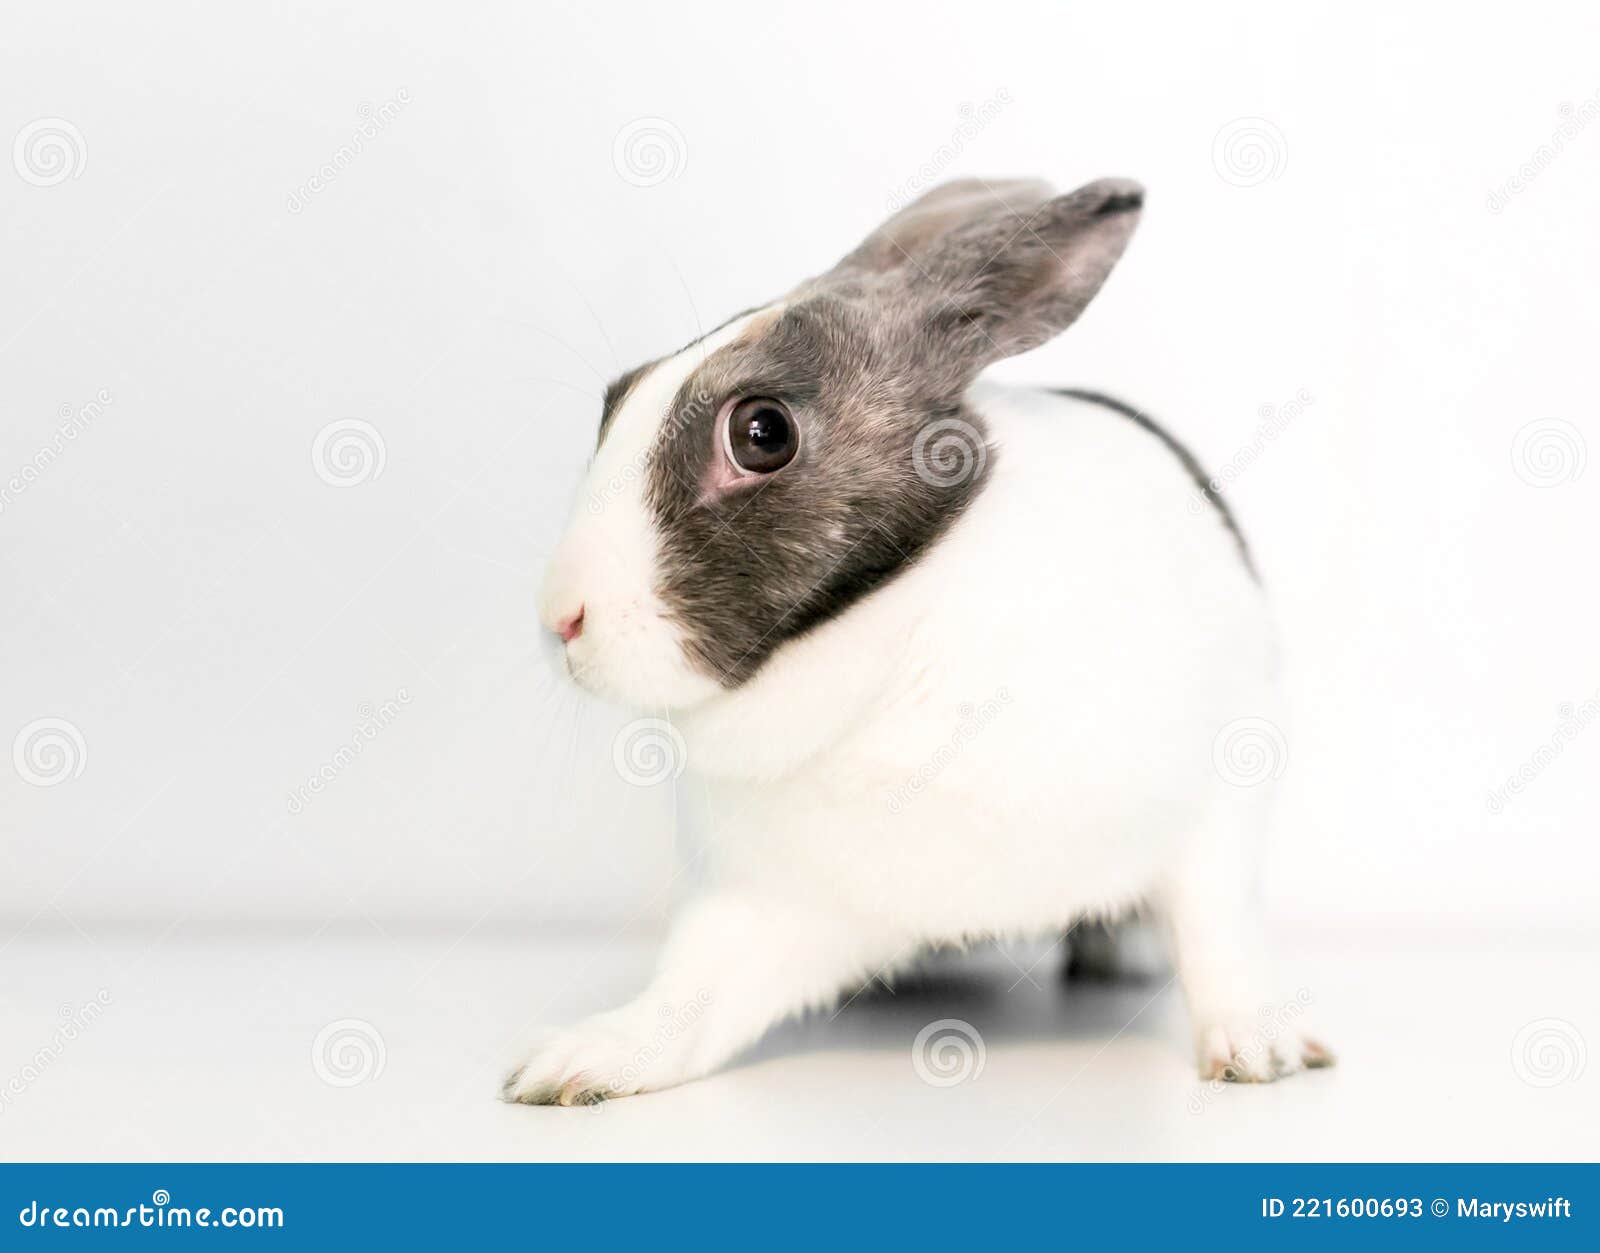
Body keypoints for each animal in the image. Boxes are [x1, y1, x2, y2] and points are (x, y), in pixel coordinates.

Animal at [506, 176, 1333, 1105]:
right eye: (618, 394)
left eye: (762, 432)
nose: (561, 616)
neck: (891, 659)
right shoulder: (763, 906)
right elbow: (687, 1002)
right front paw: (576, 1062)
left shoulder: (1217, 808)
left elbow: (1219, 931)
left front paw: (1260, 1050)